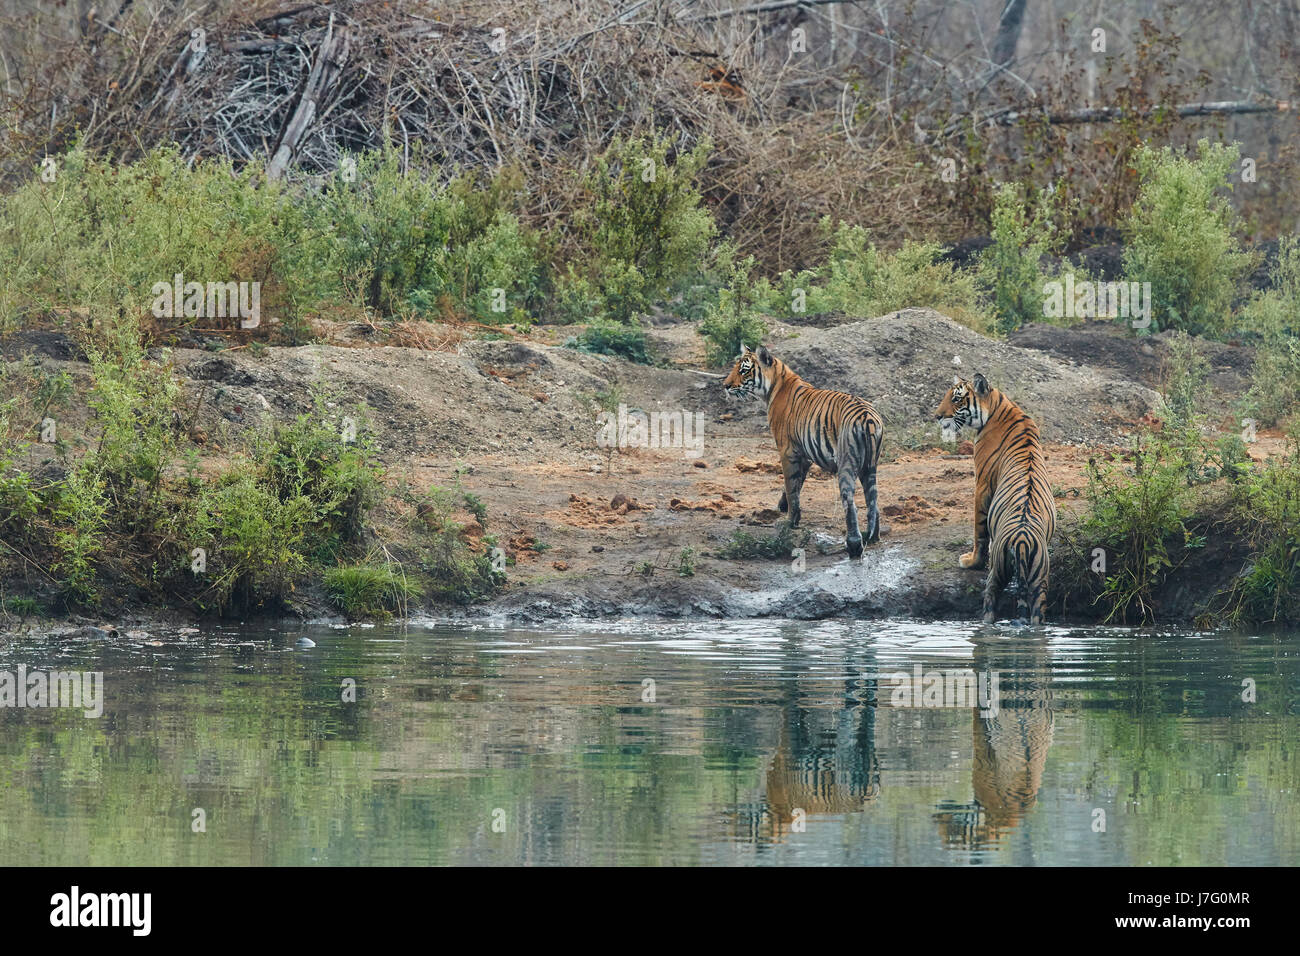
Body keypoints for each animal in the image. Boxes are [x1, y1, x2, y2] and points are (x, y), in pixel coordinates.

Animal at [724, 344, 884, 558]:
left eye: (744, 370)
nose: (725, 385)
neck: (776, 384)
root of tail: (867, 416)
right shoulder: (805, 455)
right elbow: (796, 485)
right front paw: (784, 507)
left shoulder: (787, 450)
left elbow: (791, 487)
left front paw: (790, 521)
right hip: (870, 466)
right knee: (873, 501)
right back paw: (873, 536)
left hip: (847, 463)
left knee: (850, 503)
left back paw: (854, 545)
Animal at [934, 373, 1056, 624]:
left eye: (956, 399)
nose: (937, 416)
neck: (1000, 405)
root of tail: (1022, 541)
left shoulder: (981, 483)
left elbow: (979, 531)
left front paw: (971, 561)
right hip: (1040, 580)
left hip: (999, 573)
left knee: (989, 603)